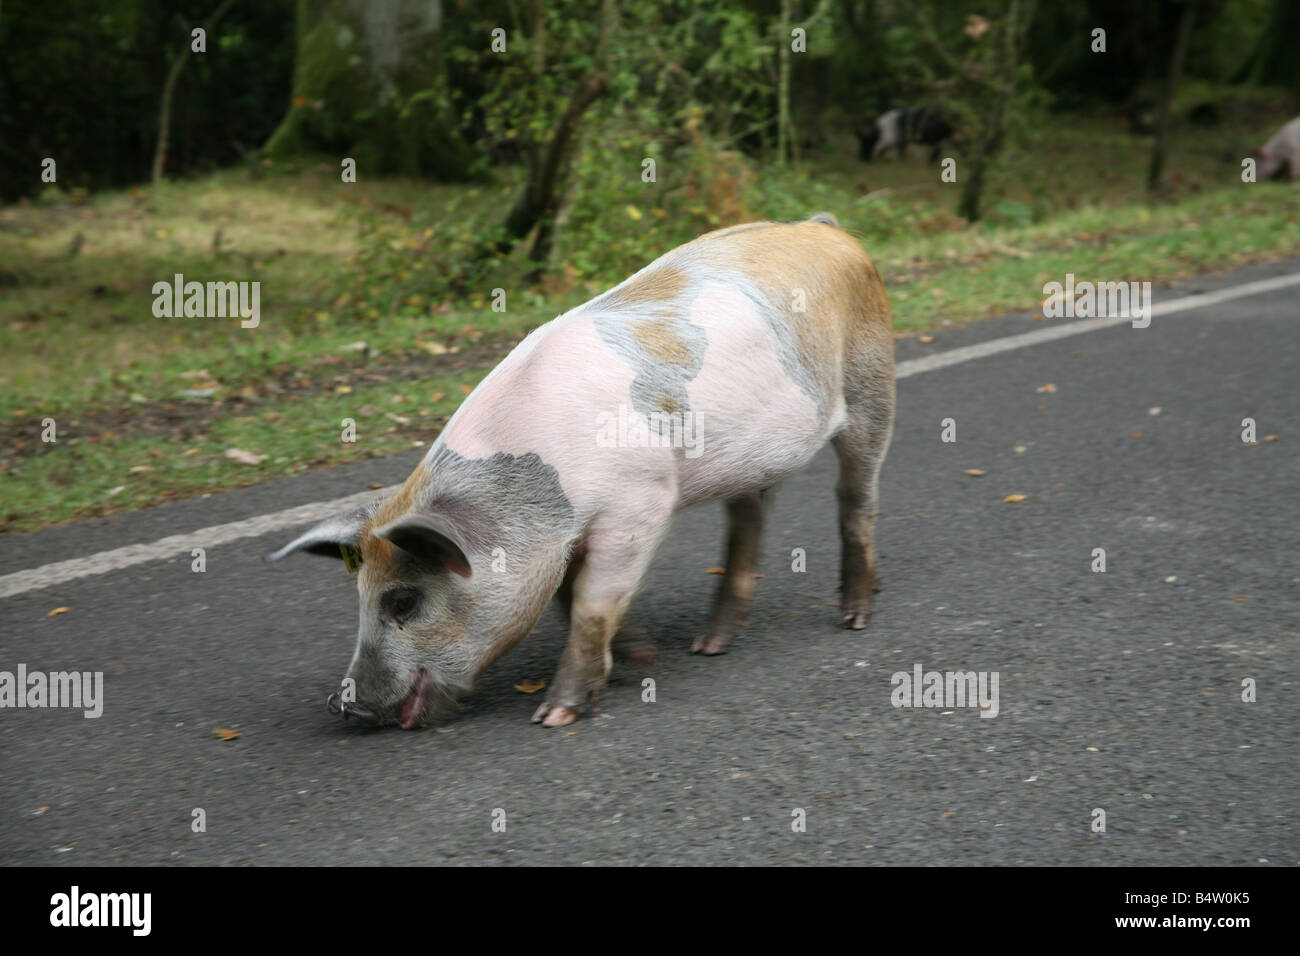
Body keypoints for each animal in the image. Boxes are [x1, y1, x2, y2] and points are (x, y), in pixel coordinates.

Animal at [268, 213, 896, 729]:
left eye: (403, 601)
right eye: (360, 595)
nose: (343, 704)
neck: (538, 508)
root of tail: (827, 229)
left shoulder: (641, 504)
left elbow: (594, 602)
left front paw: (555, 714)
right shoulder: (567, 540)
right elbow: (569, 599)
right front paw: (641, 657)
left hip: (872, 383)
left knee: (856, 495)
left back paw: (855, 619)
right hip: (752, 457)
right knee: (749, 521)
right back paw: (709, 646)